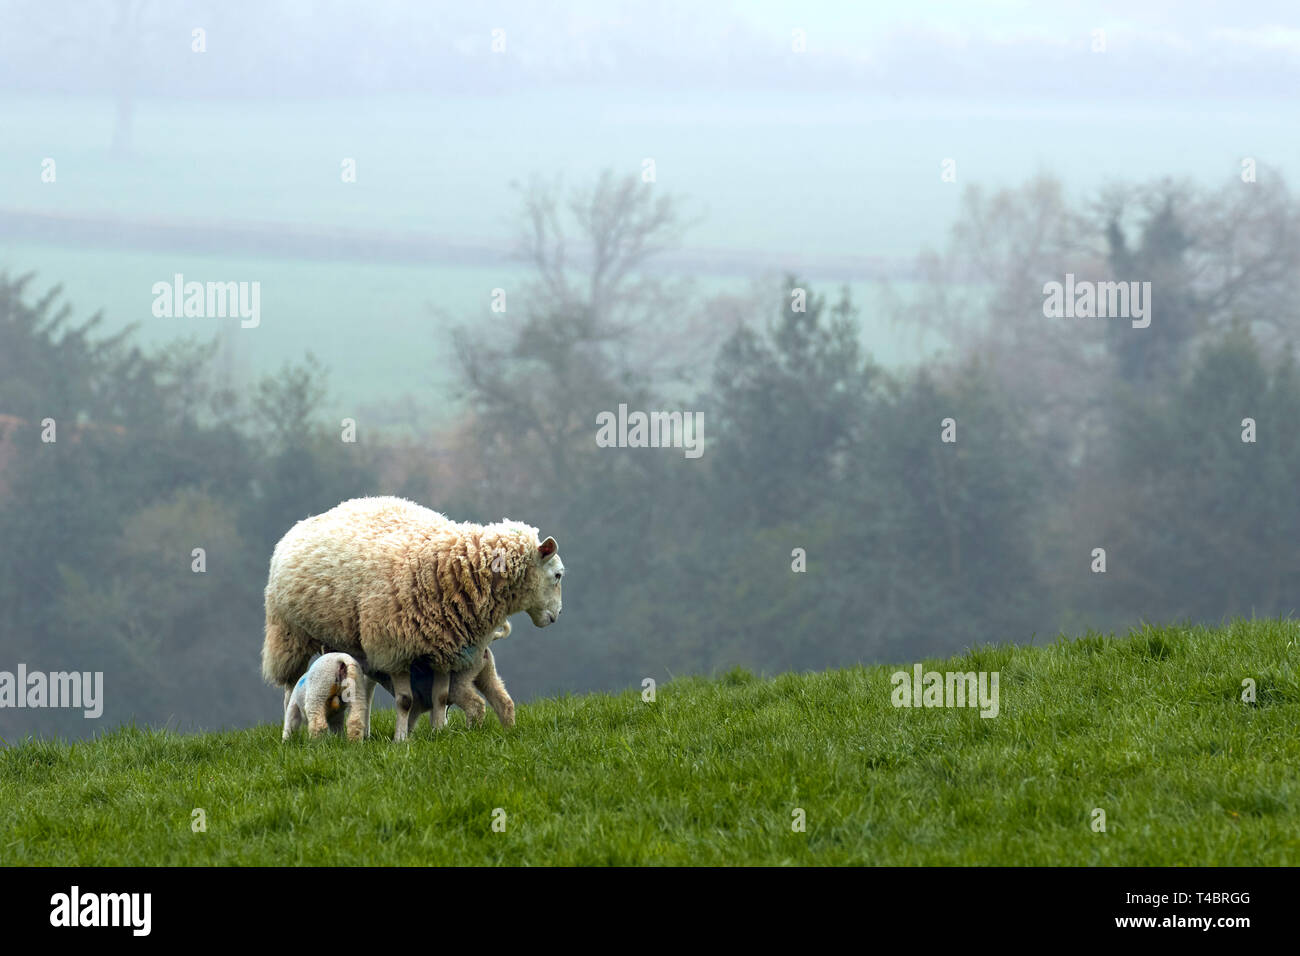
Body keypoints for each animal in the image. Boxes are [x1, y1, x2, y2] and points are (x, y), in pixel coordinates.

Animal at [260, 496, 563, 740]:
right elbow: (405, 700)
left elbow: (440, 696)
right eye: (558, 575)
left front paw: (439, 732)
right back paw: (291, 735)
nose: (556, 616)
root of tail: (301, 523)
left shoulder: (444, 646)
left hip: (343, 640)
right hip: (289, 634)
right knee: (290, 687)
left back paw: (362, 732)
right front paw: (401, 739)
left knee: (363, 685)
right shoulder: (394, 646)